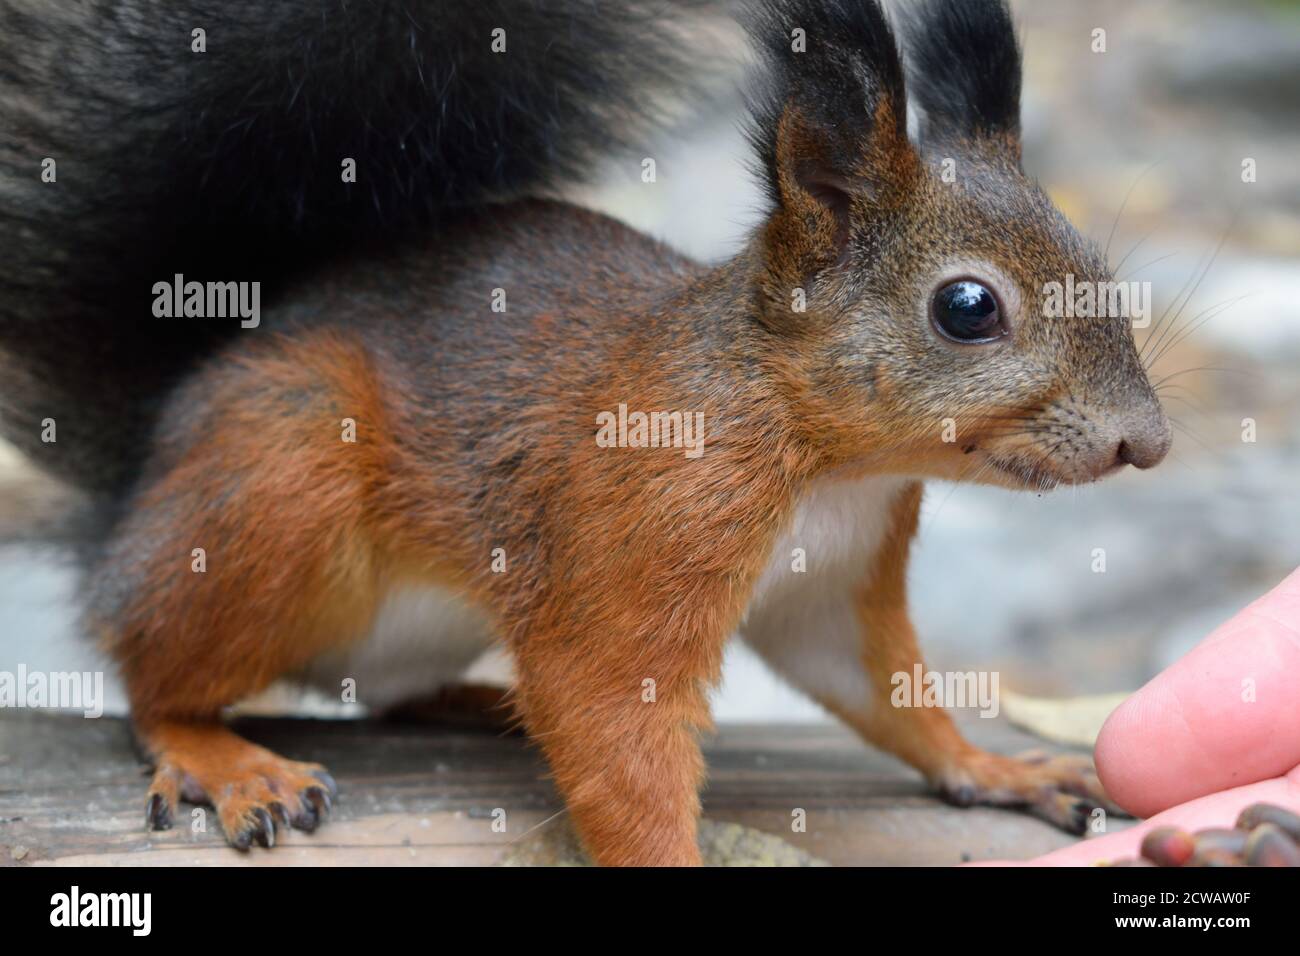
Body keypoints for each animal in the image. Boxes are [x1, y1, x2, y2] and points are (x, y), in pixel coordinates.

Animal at [0, 0, 1171, 865]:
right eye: (967, 308)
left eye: (1097, 267)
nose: (1146, 444)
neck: (828, 460)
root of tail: (143, 474)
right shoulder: (642, 527)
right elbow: (606, 712)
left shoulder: (833, 581)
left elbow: (876, 690)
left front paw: (995, 766)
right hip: (276, 473)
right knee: (150, 672)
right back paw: (223, 754)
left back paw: (474, 700)